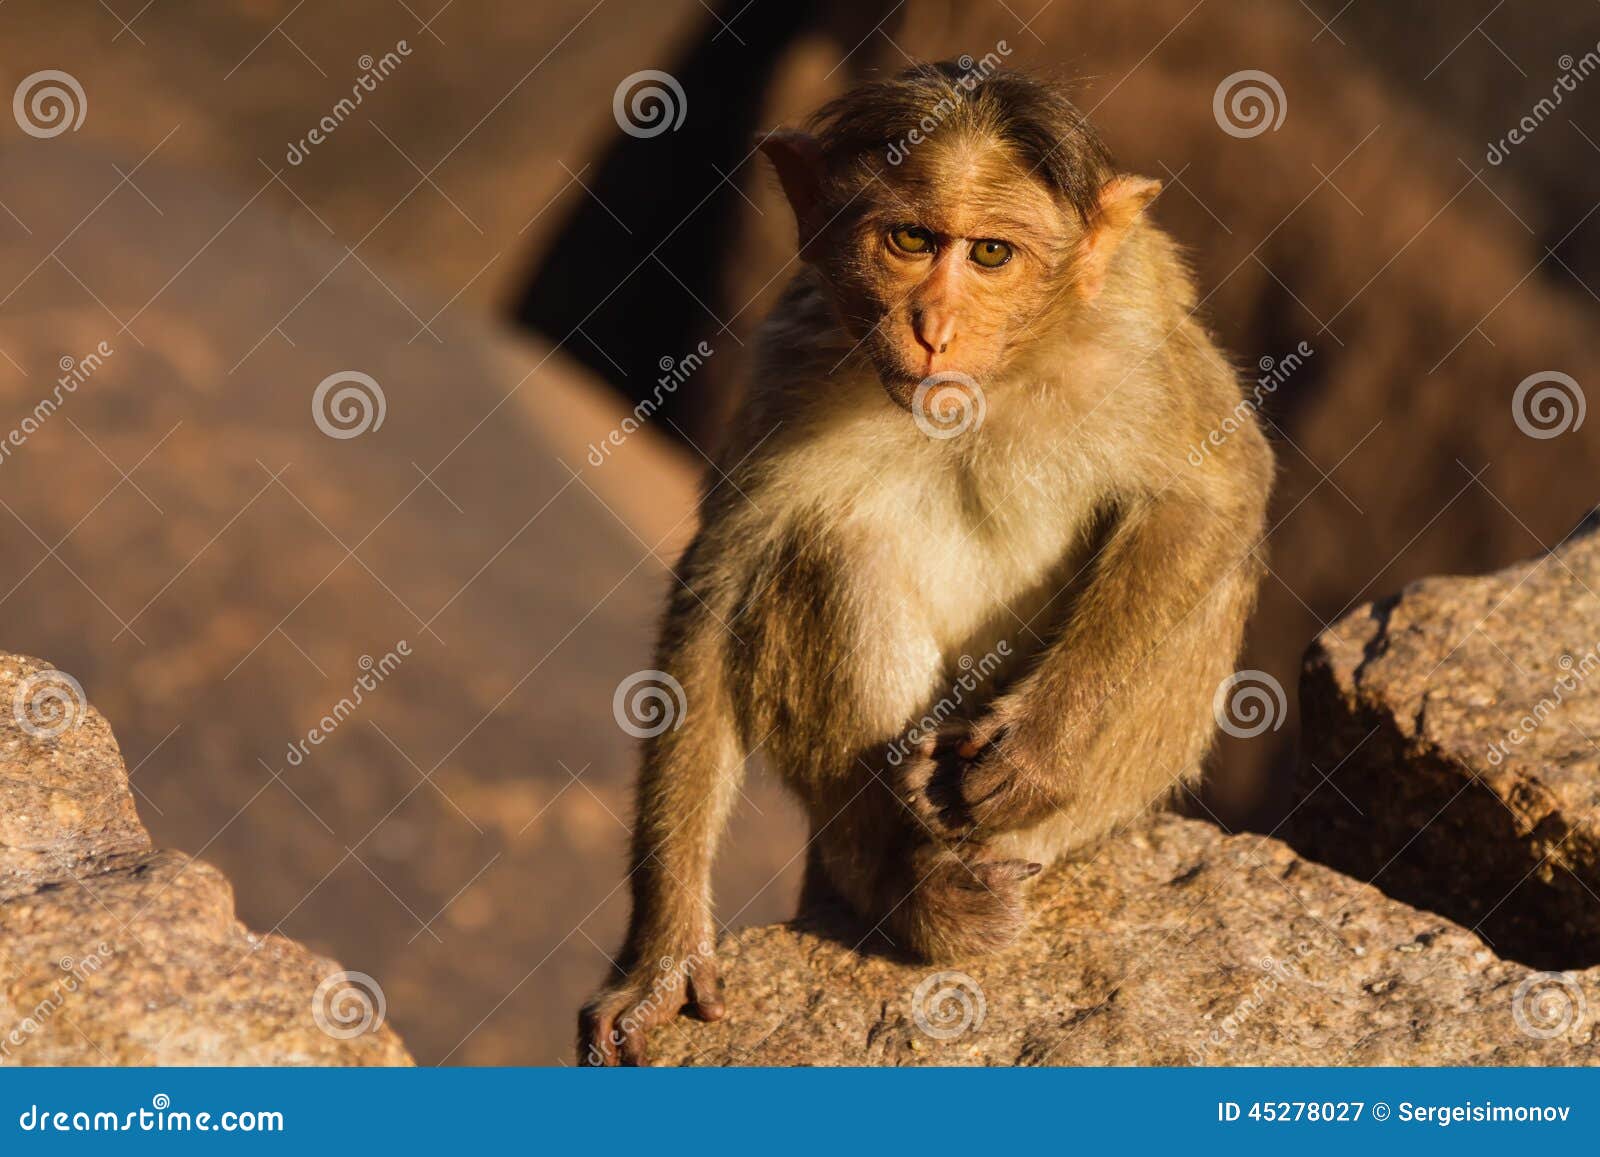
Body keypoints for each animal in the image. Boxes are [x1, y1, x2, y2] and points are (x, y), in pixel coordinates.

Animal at [579, 62, 1273, 1065]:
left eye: (990, 253)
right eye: (909, 240)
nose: (935, 326)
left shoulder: (1137, 334)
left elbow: (1214, 494)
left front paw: (1035, 750)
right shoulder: (795, 356)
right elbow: (719, 594)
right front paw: (661, 957)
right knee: (830, 549)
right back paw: (899, 879)